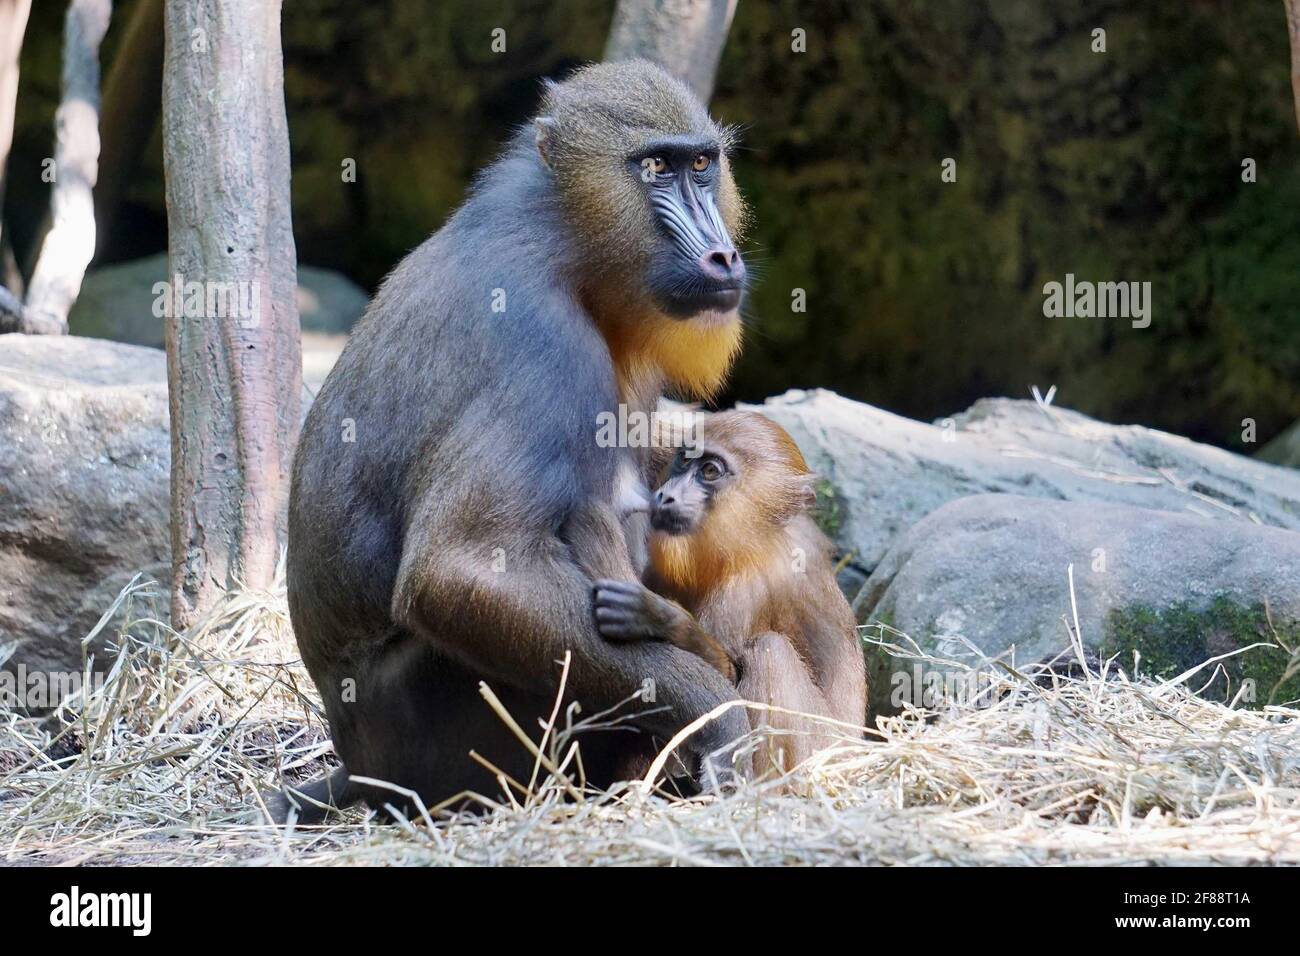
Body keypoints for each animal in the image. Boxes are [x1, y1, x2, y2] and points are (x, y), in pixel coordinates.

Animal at [276, 61, 755, 822]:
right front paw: (719, 718)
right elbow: (461, 570)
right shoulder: (543, 349)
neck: (570, 243)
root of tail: (359, 768)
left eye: (702, 166)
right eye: (654, 167)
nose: (721, 255)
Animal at [593, 411, 867, 778]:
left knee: (770, 651)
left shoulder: (746, 590)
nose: (665, 495)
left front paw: (661, 620)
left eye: (710, 471)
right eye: (684, 461)